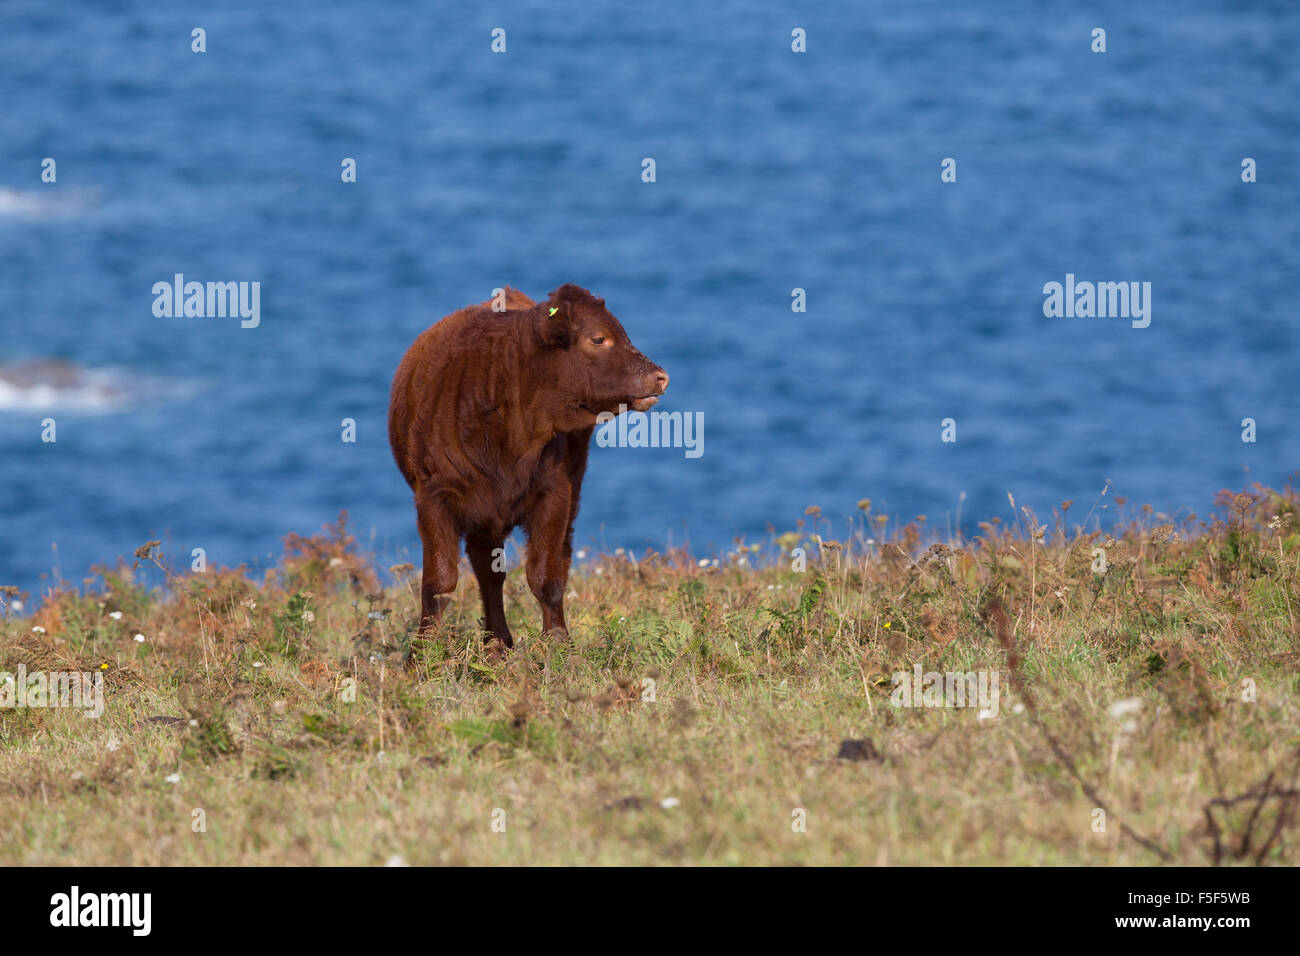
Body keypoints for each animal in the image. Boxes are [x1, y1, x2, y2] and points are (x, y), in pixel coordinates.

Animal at [388, 284, 669, 659]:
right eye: (599, 339)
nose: (660, 376)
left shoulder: (555, 494)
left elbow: (546, 576)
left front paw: (559, 644)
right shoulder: (432, 497)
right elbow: (439, 581)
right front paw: (421, 655)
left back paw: (498, 643)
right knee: (487, 570)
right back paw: (495, 644)